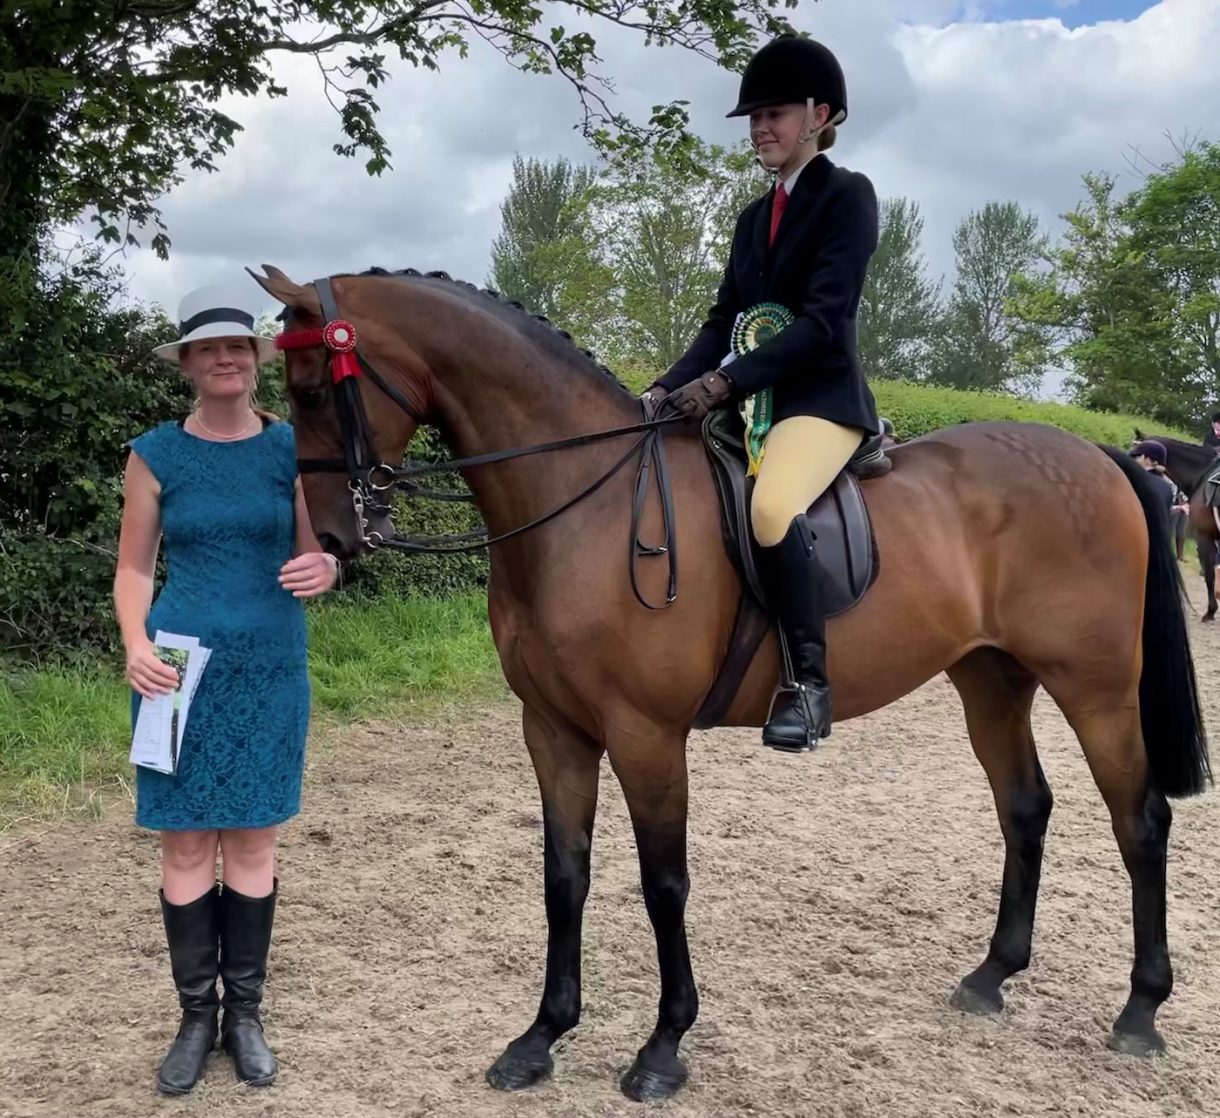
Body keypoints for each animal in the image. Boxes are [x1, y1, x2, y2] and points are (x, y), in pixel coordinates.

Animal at [252, 265, 1210, 1101]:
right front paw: (541, 1036)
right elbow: (564, 875)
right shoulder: (553, 728)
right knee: (1025, 807)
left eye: (311, 392)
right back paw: (990, 976)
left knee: (1140, 822)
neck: (584, 503)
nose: (330, 540)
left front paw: (662, 1049)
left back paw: (1139, 1011)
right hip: (990, 679)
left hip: (1094, 688)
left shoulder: (645, 734)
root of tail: (1097, 457)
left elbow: (662, 883)